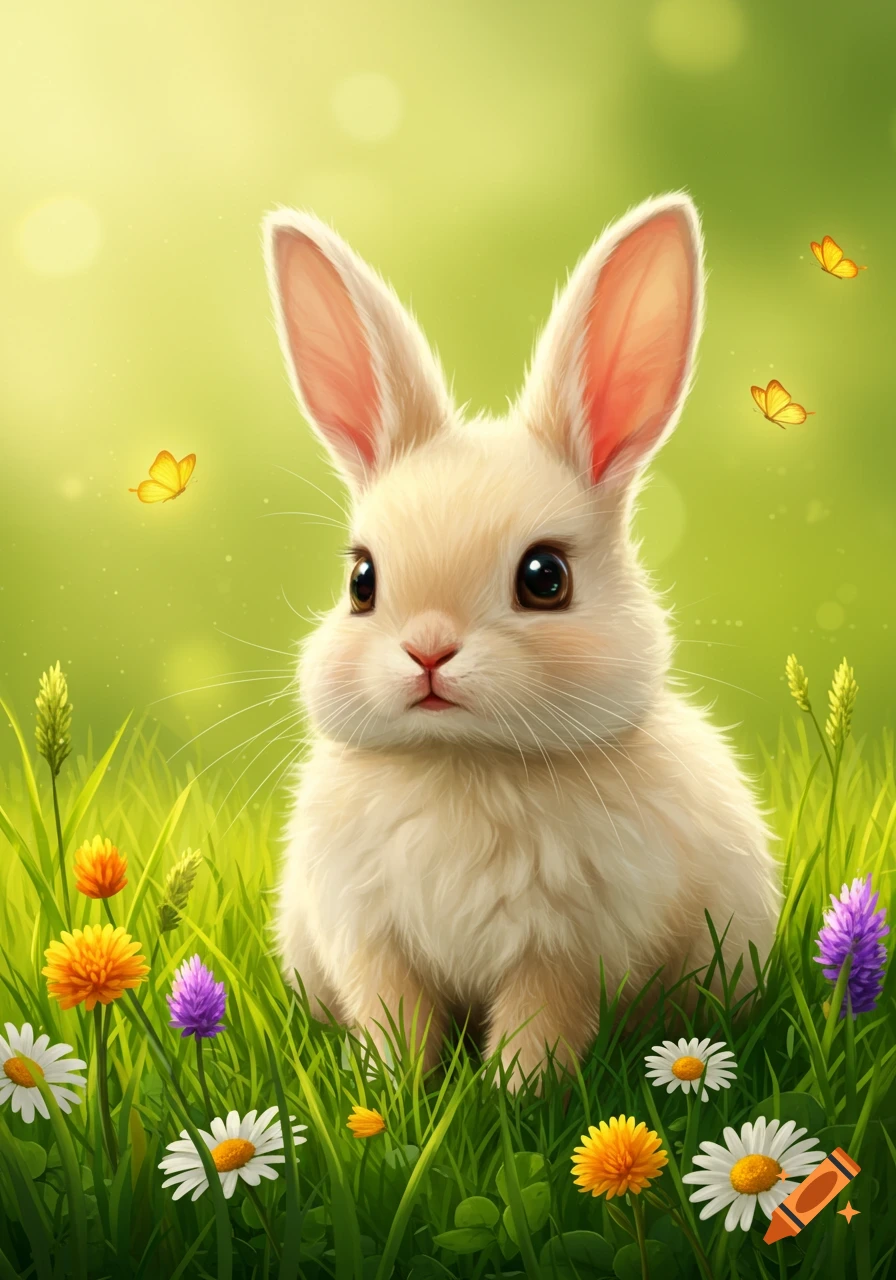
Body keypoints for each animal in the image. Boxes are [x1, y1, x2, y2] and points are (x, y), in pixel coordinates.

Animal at [263, 192, 781, 1089]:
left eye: (545, 577)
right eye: (362, 581)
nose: (429, 652)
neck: (464, 765)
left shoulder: (565, 951)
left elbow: (539, 1028)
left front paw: (515, 1096)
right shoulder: (368, 938)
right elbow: (394, 1018)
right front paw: (392, 1090)